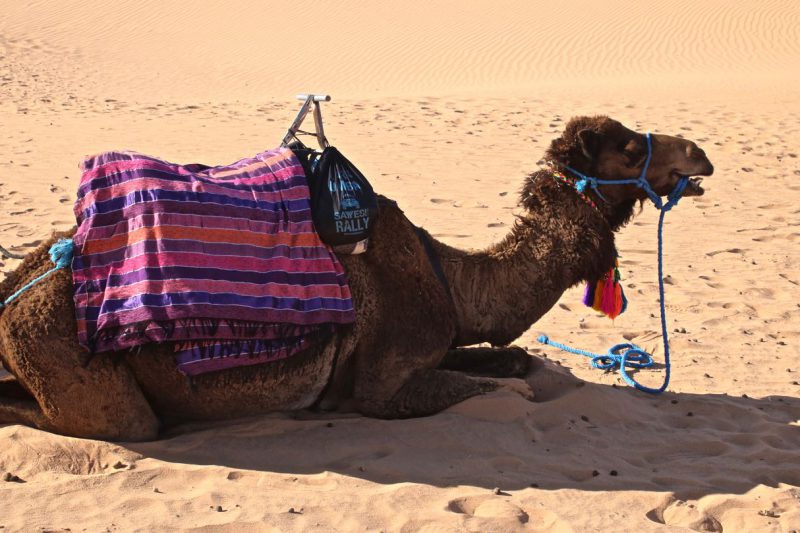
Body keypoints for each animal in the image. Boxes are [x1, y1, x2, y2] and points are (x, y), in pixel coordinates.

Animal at [0, 116, 713, 441]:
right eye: (628, 147)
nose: (700, 153)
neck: (449, 277)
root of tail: (14, 295)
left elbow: (513, 361)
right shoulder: (384, 383)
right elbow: (500, 390)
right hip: (71, 365)